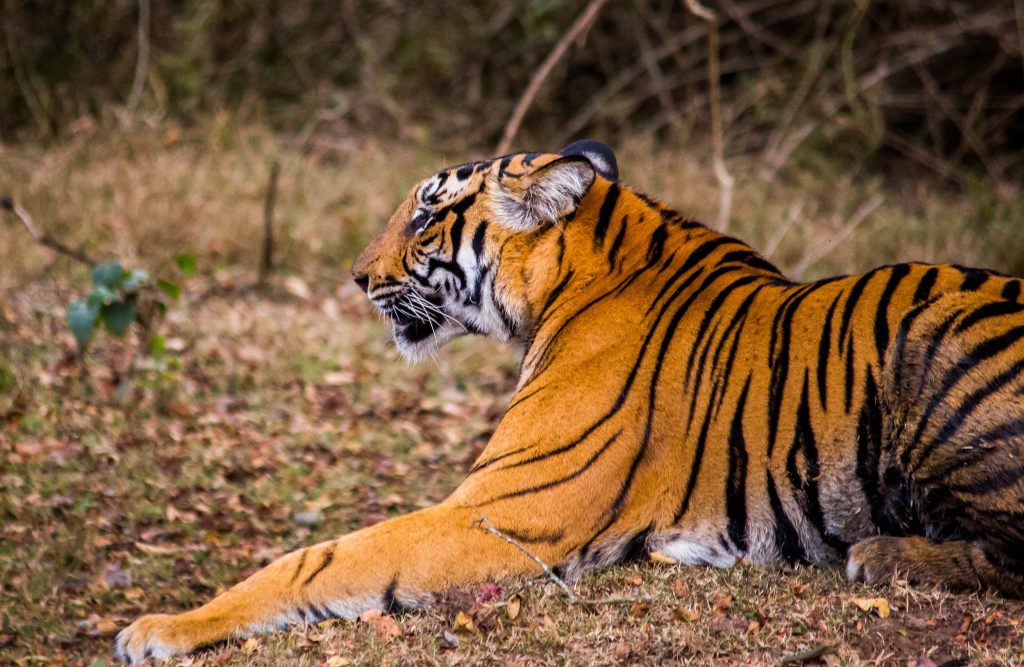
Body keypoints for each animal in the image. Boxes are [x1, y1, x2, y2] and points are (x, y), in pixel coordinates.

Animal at [116, 140, 1024, 663]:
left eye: (426, 215)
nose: (356, 276)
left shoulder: (499, 510)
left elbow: (316, 560)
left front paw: (158, 627)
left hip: (935, 341)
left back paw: (884, 553)